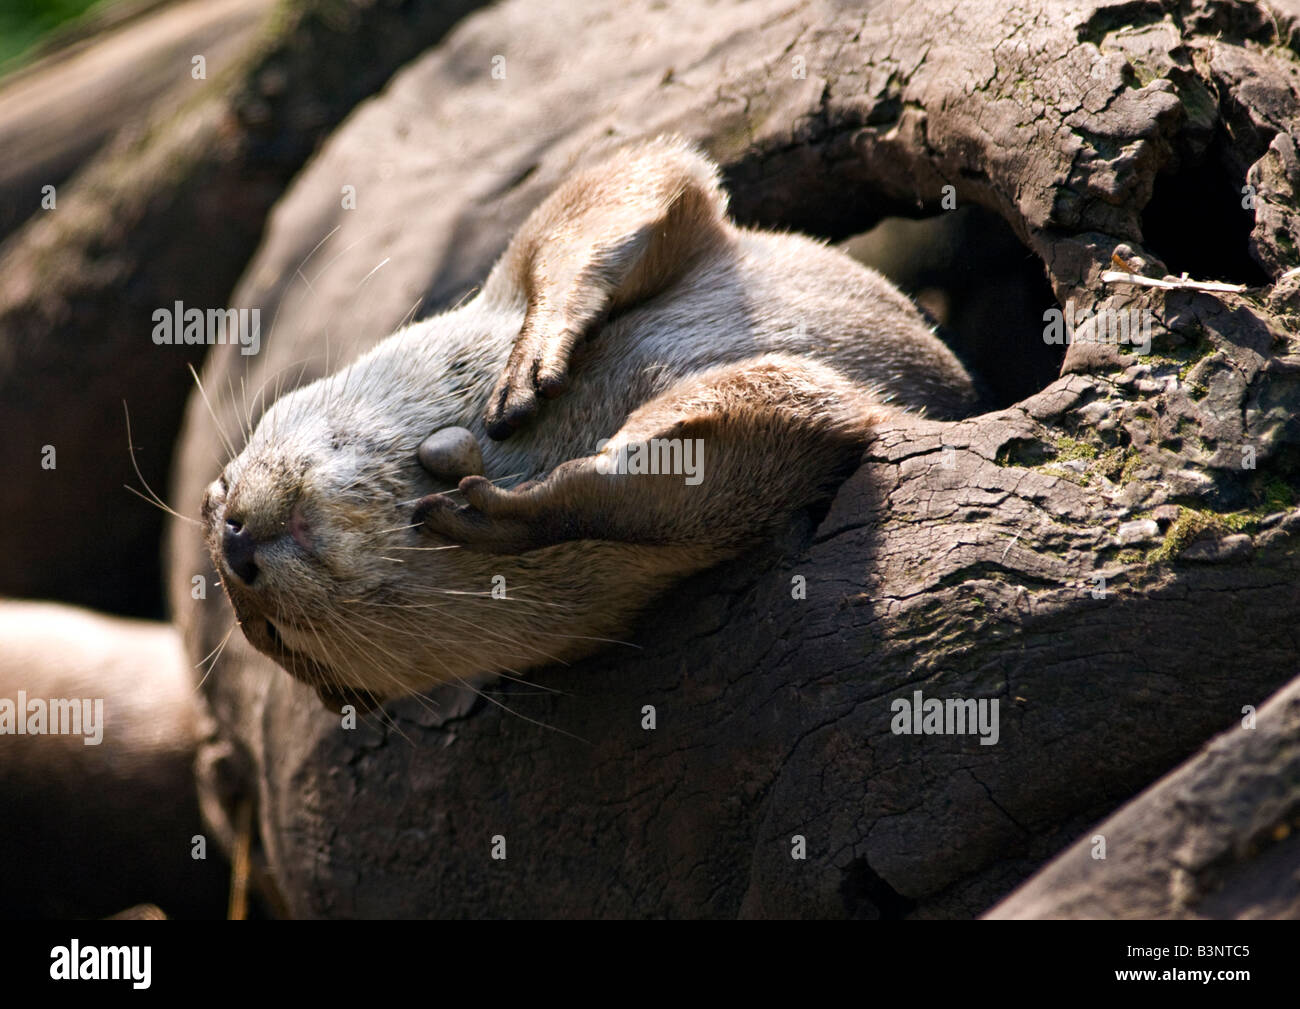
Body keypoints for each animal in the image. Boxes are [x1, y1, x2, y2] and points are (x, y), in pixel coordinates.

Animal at [202, 137, 978, 712]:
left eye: (218, 488)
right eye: (276, 636)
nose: (235, 544)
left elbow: (623, 190)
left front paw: (531, 363)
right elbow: (797, 420)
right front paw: (517, 506)